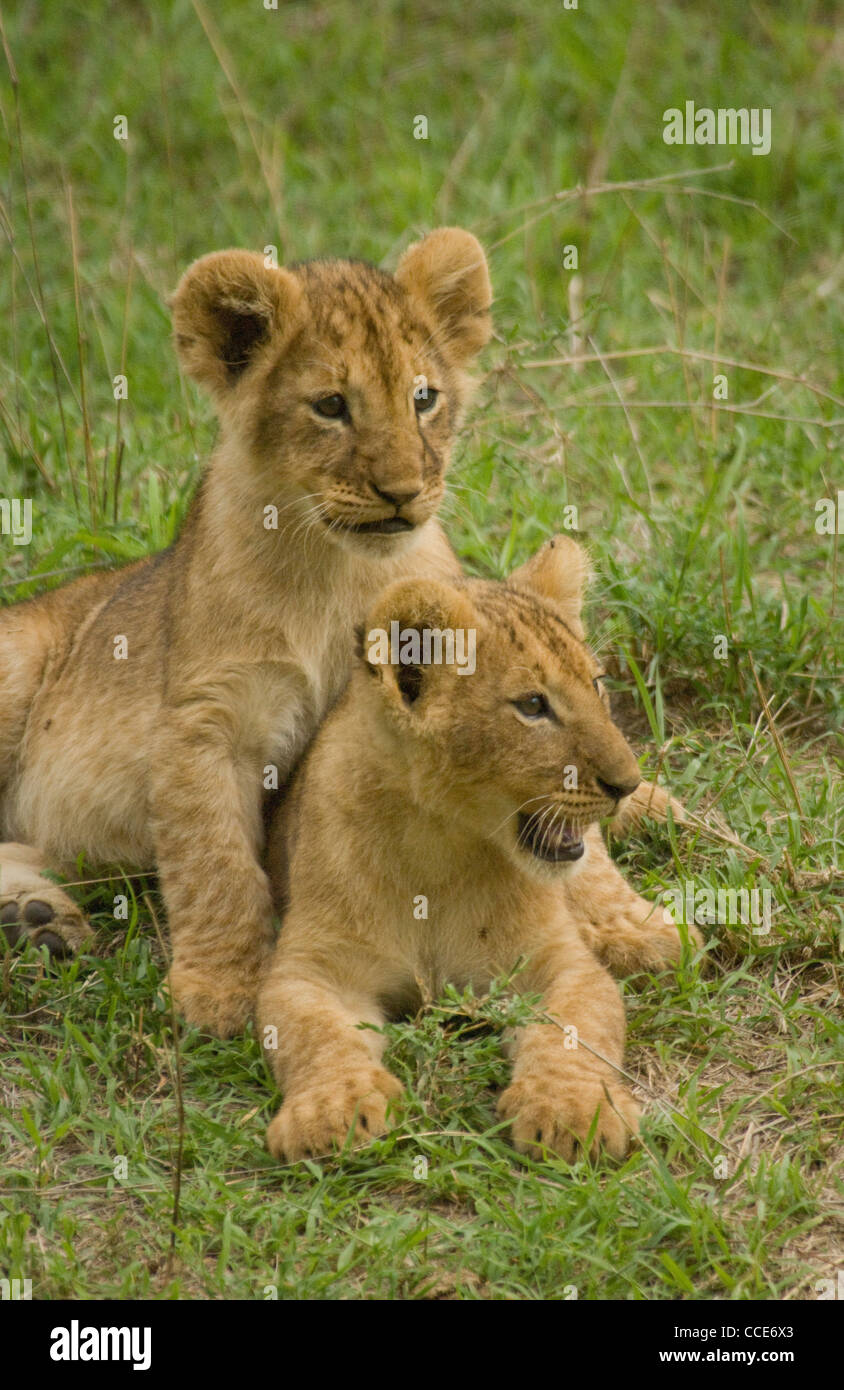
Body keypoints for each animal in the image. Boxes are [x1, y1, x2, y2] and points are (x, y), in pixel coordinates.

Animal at [0, 227, 494, 1036]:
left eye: (424, 397)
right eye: (331, 405)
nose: (402, 492)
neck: (332, 566)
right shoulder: (206, 721)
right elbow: (217, 865)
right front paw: (223, 991)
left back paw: (38, 919)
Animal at [258, 535, 702, 1163]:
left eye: (595, 685)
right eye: (533, 706)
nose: (626, 782)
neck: (436, 844)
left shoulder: (553, 962)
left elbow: (579, 1029)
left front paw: (573, 1112)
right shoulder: (310, 968)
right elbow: (312, 1034)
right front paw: (331, 1111)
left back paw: (643, 934)